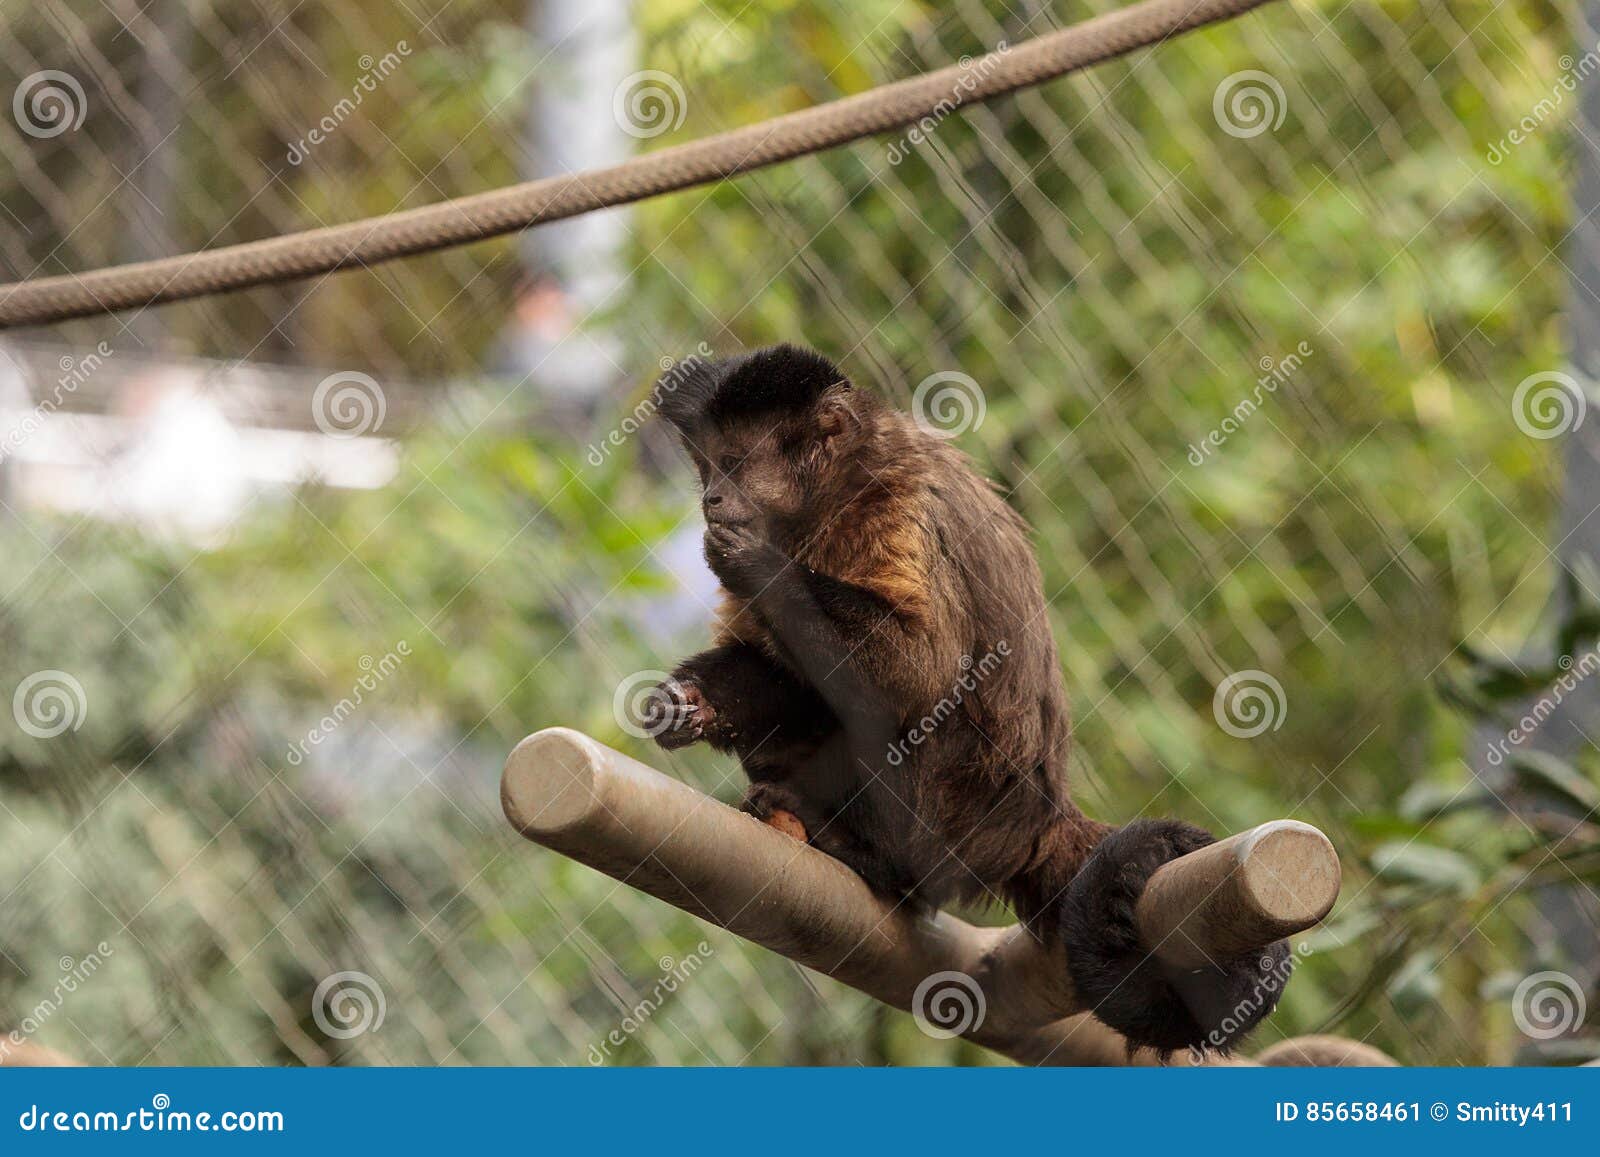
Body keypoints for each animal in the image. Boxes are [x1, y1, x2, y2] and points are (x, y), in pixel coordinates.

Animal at [642, 344, 1288, 1055]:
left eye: (734, 464)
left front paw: (758, 566)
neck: (832, 495)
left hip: (955, 817)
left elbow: (919, 674)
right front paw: (688, 701)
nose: (711, 496)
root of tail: (1037, 825)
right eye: (707, 466)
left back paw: (876, 862)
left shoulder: (897, 507)